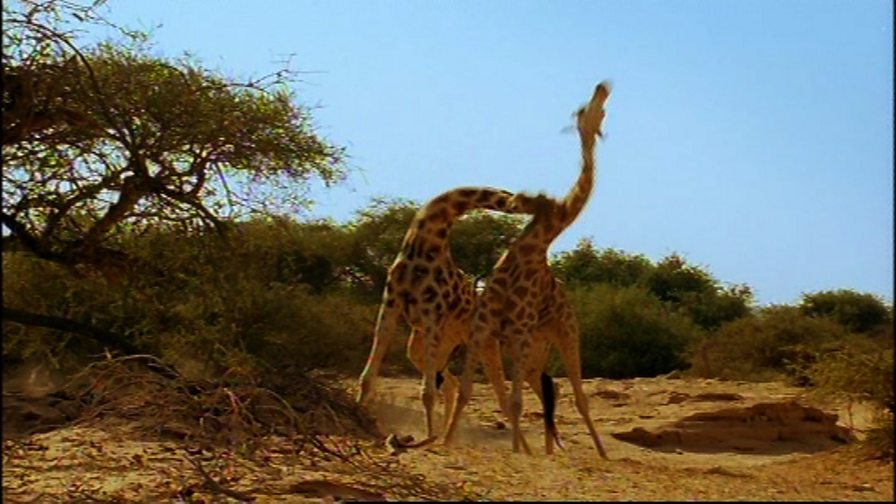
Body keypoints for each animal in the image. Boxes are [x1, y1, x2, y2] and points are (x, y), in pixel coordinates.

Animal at [357, 186, 548, 447]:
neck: (424, 238)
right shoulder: (390, 303)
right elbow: (367, 376)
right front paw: (358, 412)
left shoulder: (431, 313)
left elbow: (426, 392)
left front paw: (425, 438)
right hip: (423, 347)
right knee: (451, 383)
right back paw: (445, 437)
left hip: (484, 346)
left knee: (500, 395)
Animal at [443, 82, 611, 457]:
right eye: (585, 110)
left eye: (599, 111)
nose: (603, 88)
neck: (533, 245)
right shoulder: (484, 327)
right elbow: (469, 391)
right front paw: (444, 442)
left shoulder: (517, 331)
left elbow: (516, 402)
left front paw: (517, 453)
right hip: (537, 349)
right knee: (551, 388)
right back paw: (550, 450)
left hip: (566, 332)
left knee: (579, 395)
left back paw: (601, 453)